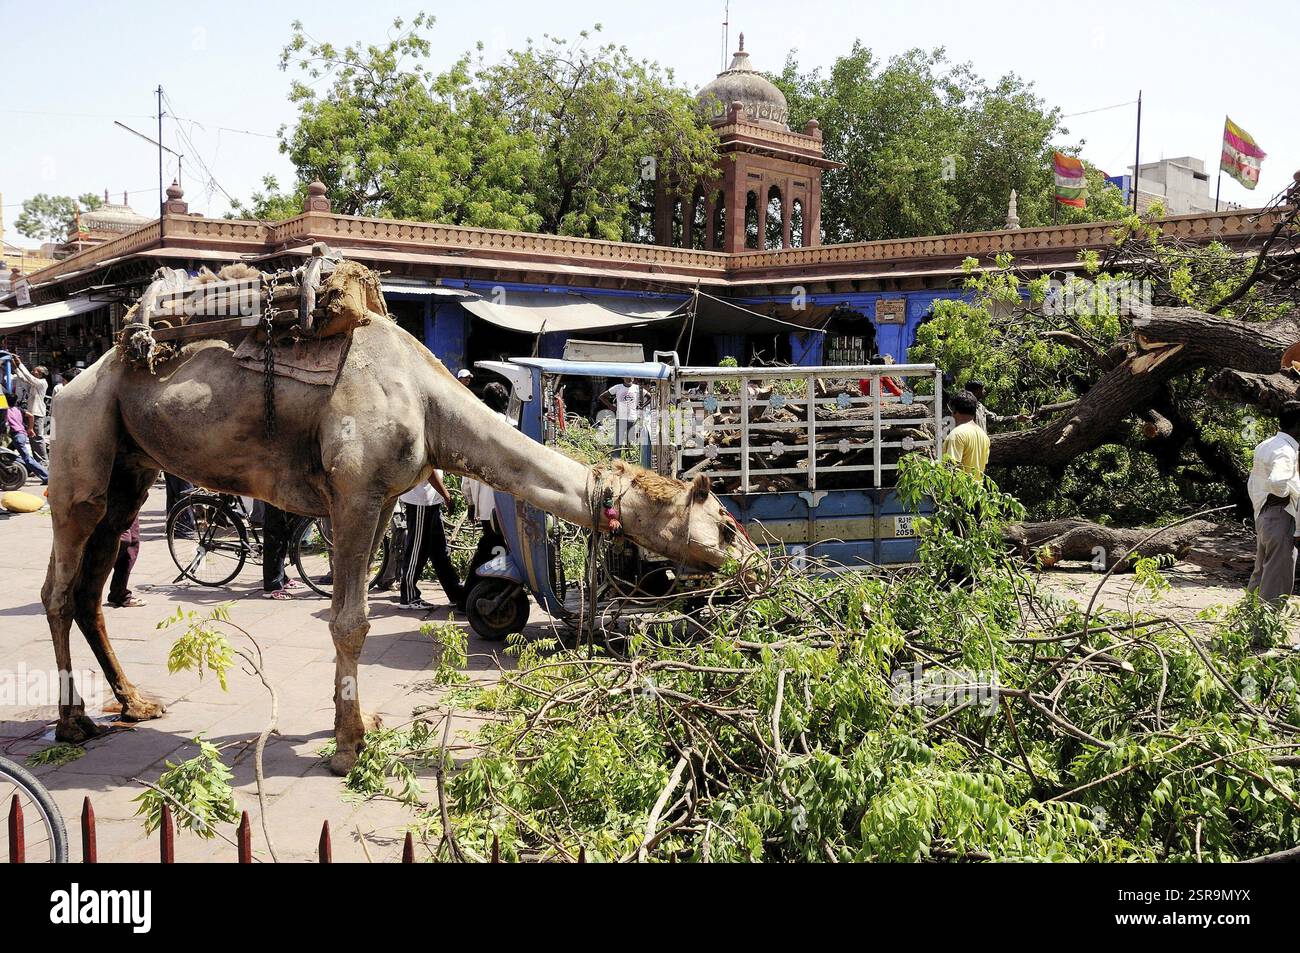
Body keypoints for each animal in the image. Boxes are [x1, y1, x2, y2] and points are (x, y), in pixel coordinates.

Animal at [41, 266, 758, 774]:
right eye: (724, 523)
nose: (758, 565)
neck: (429, 403)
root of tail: (76, 380)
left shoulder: (383, 497)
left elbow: (354, 609)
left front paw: (353, 730)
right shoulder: (355, 491)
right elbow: (350, 622)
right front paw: (348, 749)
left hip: (131, 469)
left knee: (90, 586)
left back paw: (135, 704)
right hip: (81, 450)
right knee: (59, 585)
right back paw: (73, 724)